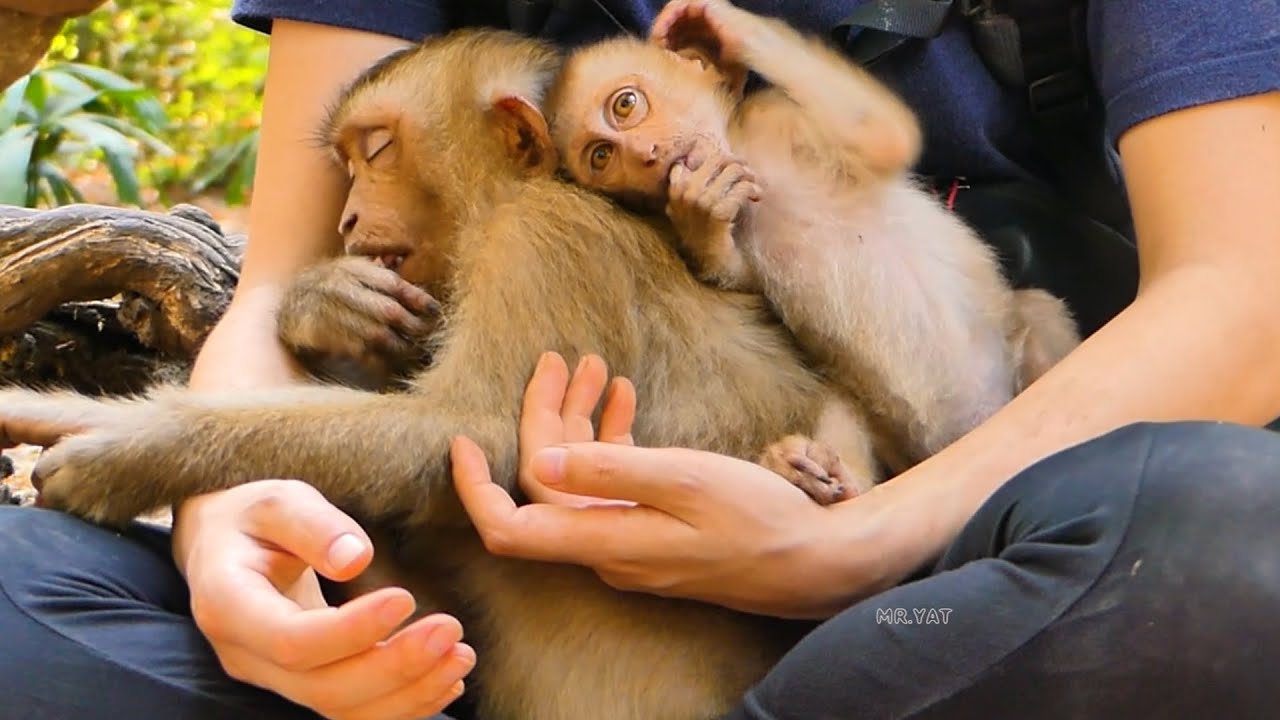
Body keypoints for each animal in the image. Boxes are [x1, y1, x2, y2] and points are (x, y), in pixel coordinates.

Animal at [544, 0, 1083, 472]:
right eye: (602, 157)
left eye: (626, 105)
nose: (646, 155)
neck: (752, 163)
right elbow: (741, 275)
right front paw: (701, 218)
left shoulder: (776, 116)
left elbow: (884, 137)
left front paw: (727, 24)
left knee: (1036, 311)